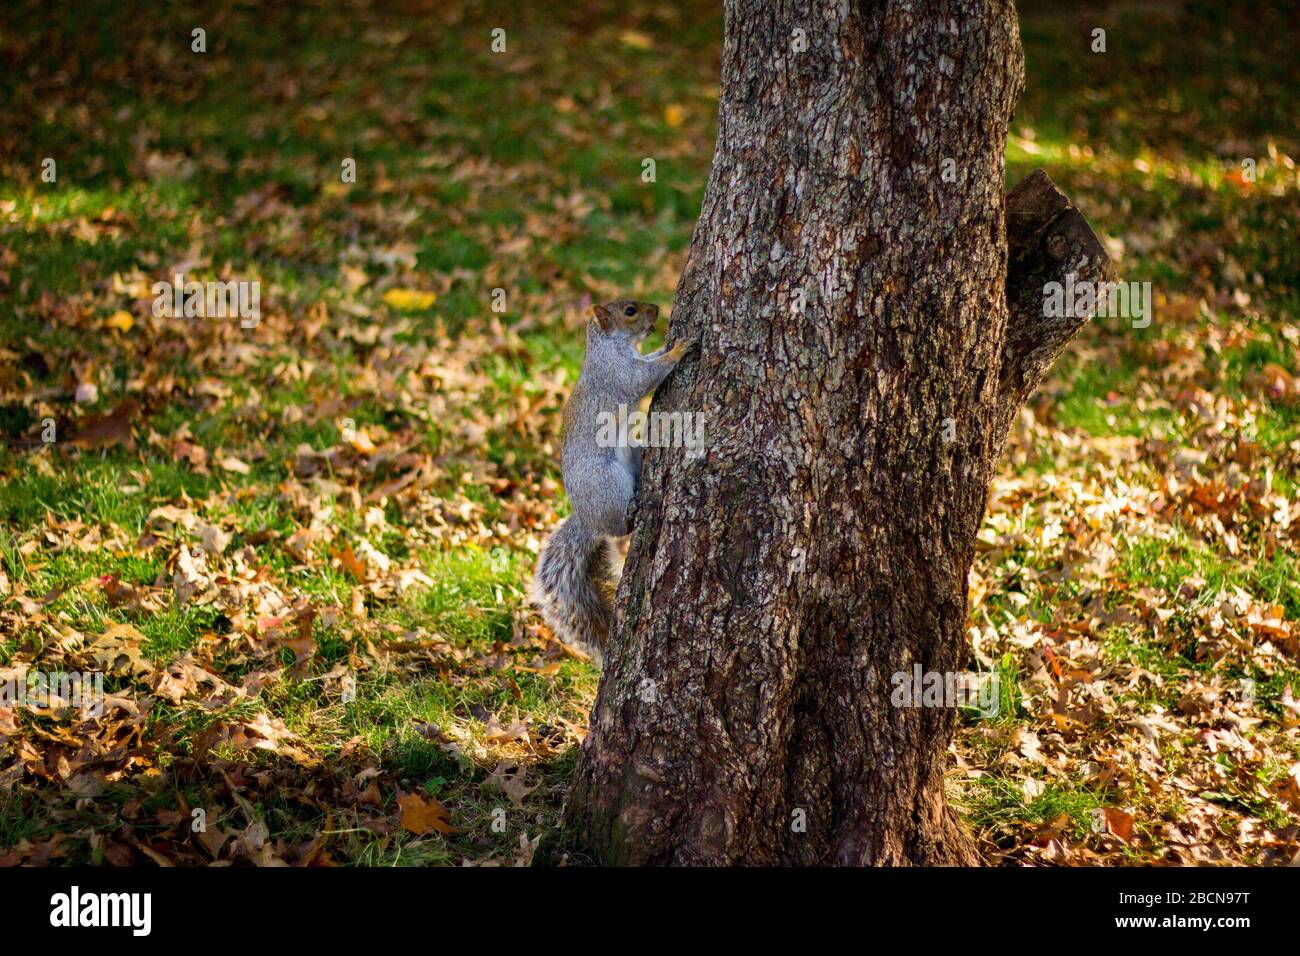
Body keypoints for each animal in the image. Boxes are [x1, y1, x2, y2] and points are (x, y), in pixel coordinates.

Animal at [532, 299, 691, 666]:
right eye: (630, 310)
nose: (657, 309)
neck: (609, 344)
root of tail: (589, 520)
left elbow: (649, 360)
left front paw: (666, 346)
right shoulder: (617, 372)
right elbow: (643, 377)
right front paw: (678, 349)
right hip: (609, 482)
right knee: (619, 528)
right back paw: (631, 513)